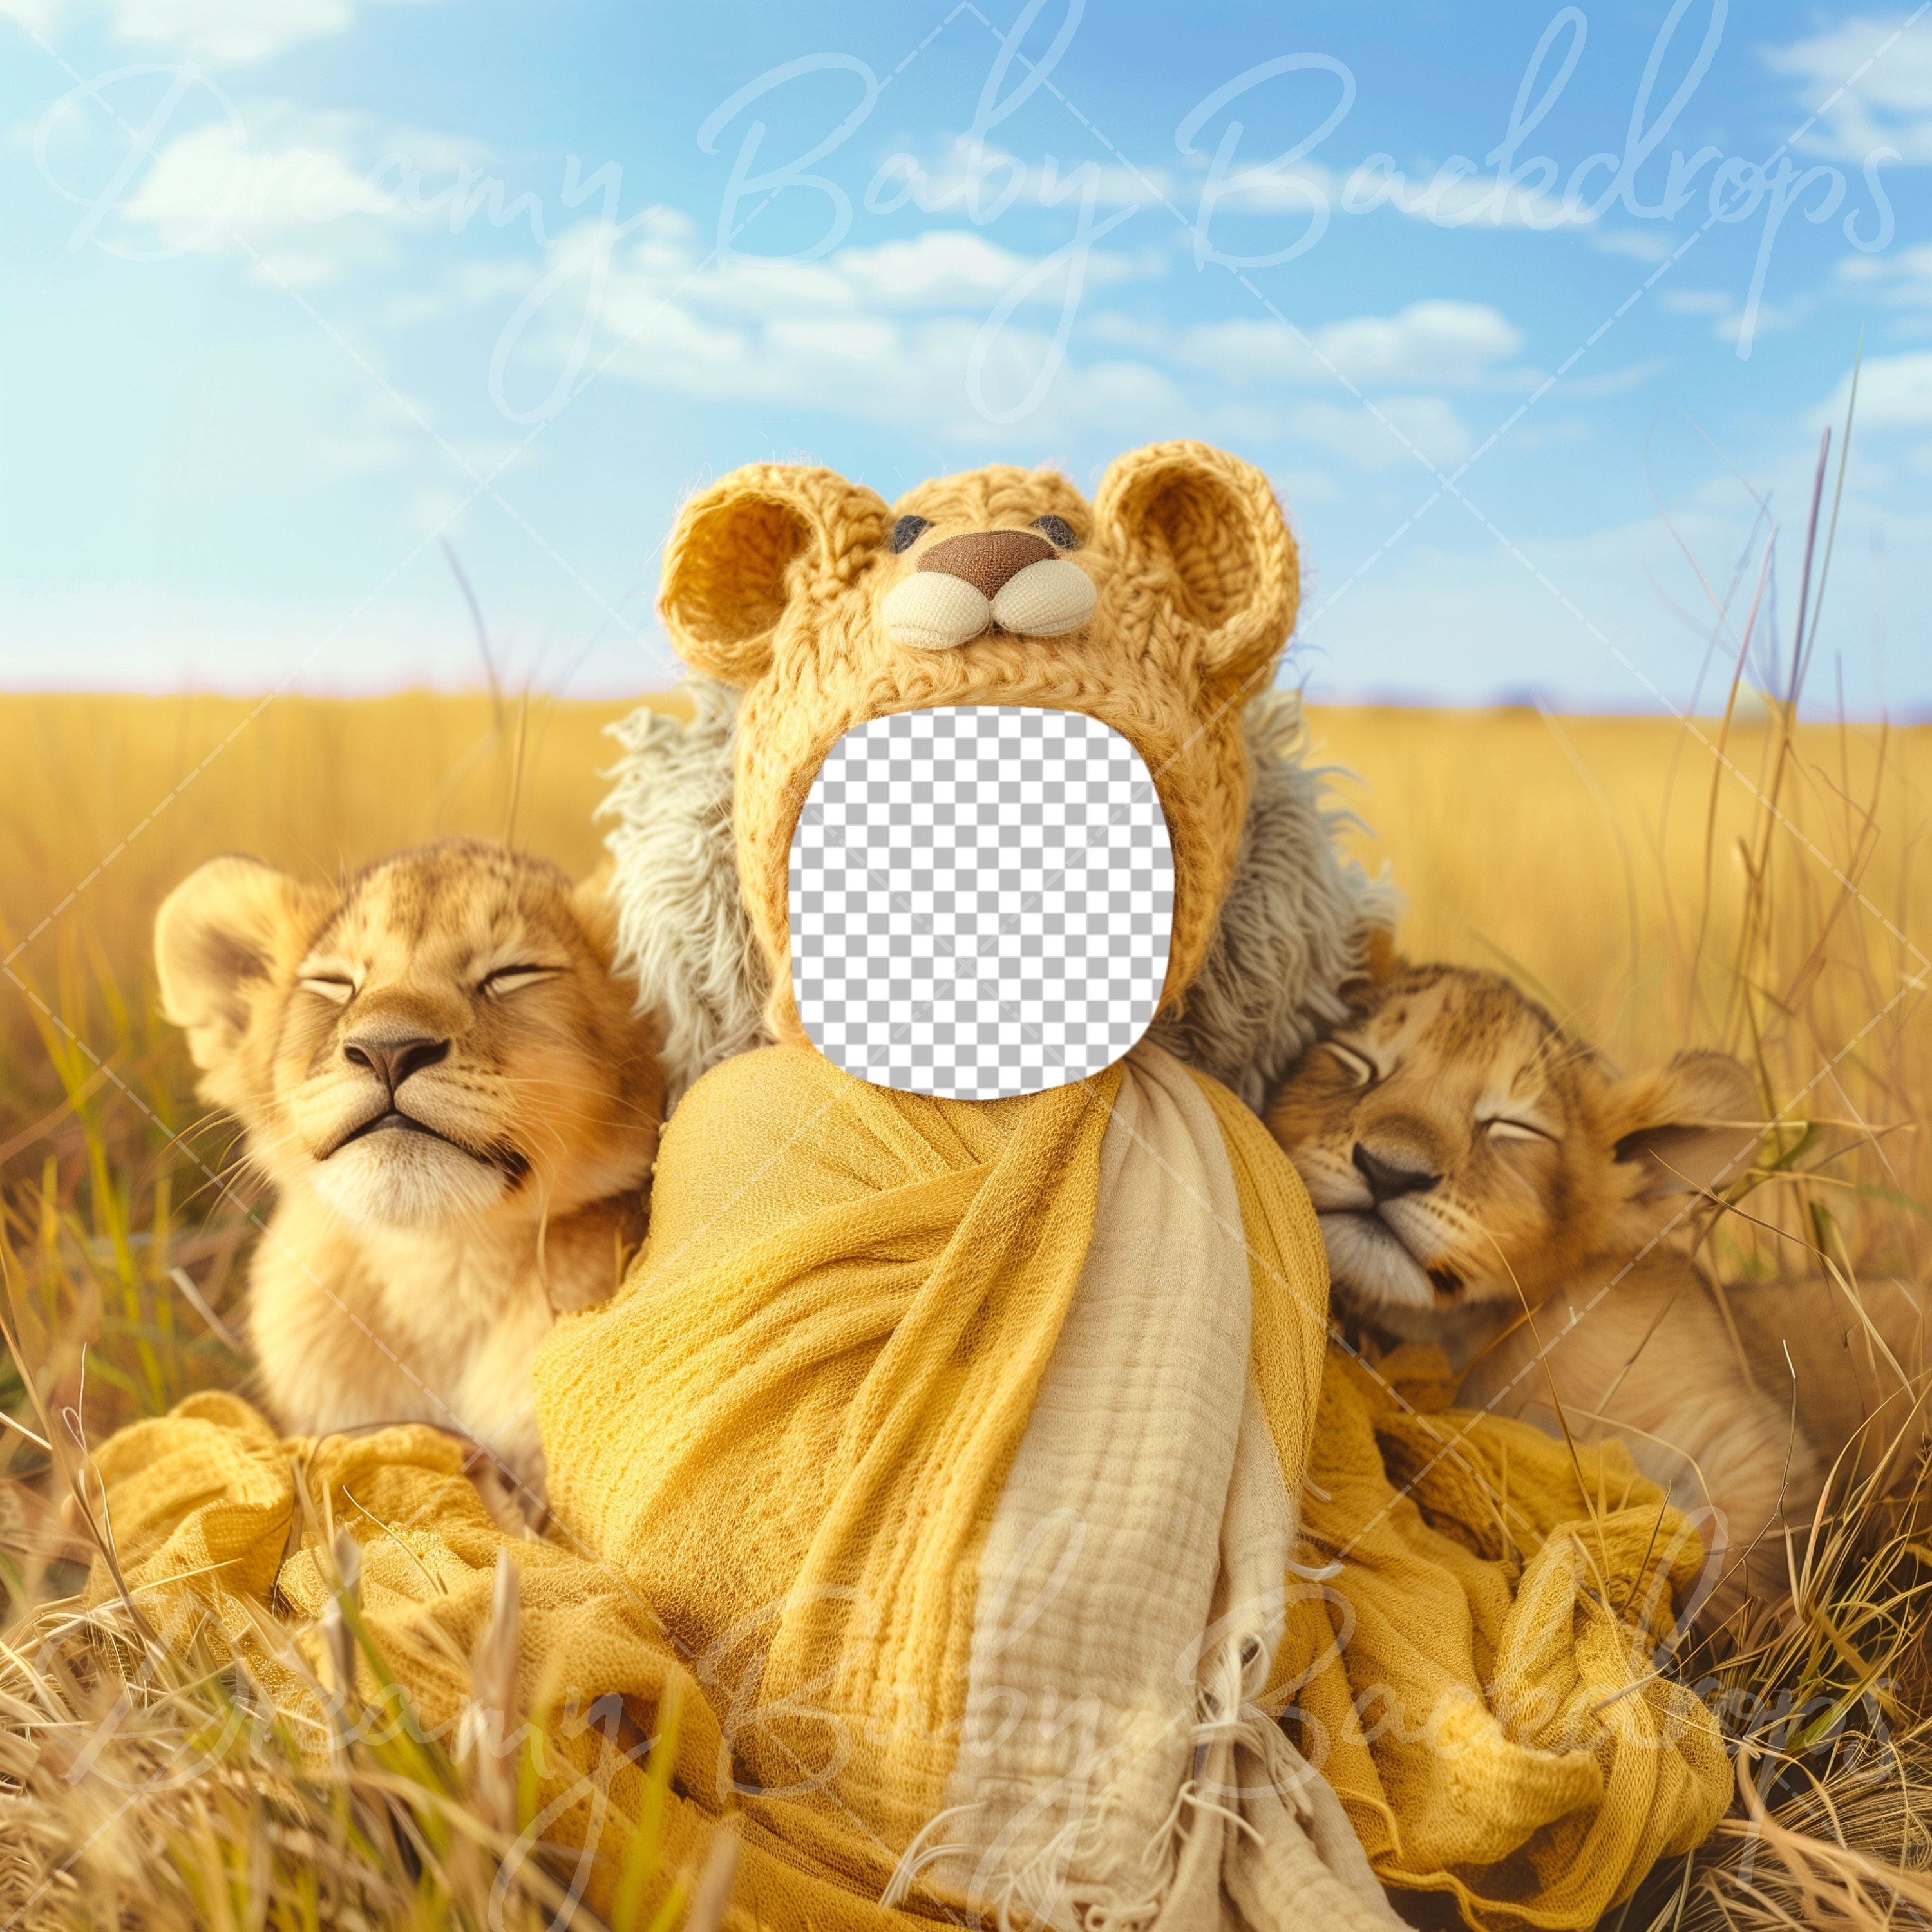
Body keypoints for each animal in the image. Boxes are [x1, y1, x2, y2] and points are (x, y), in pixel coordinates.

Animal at [1265, 960, 1926, 1629]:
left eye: (1511, 1126)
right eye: (1355, 1062)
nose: (1389, 1171)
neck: (1465, 1338)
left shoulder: (1742, 1434)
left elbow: (1734, 1569)